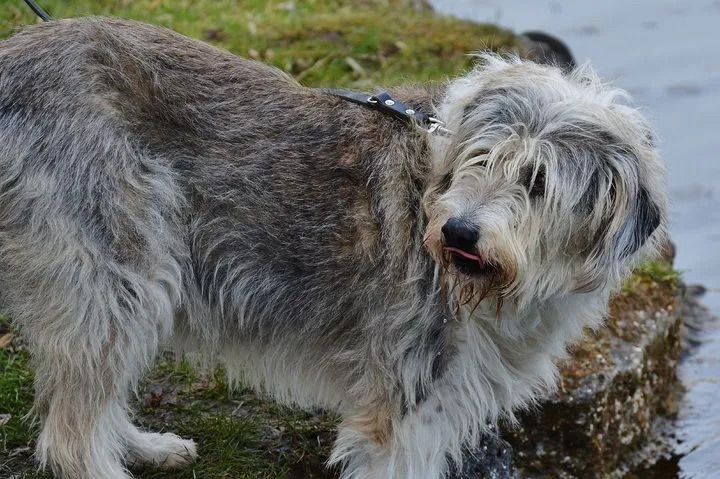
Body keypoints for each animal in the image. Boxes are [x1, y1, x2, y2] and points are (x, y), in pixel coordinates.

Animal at [0, 16, 668, 479]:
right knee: (71, 436)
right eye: (479, 158)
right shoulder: (402, 408)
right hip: (118, 275)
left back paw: (145, 446)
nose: (457, 233)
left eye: (537, 182)